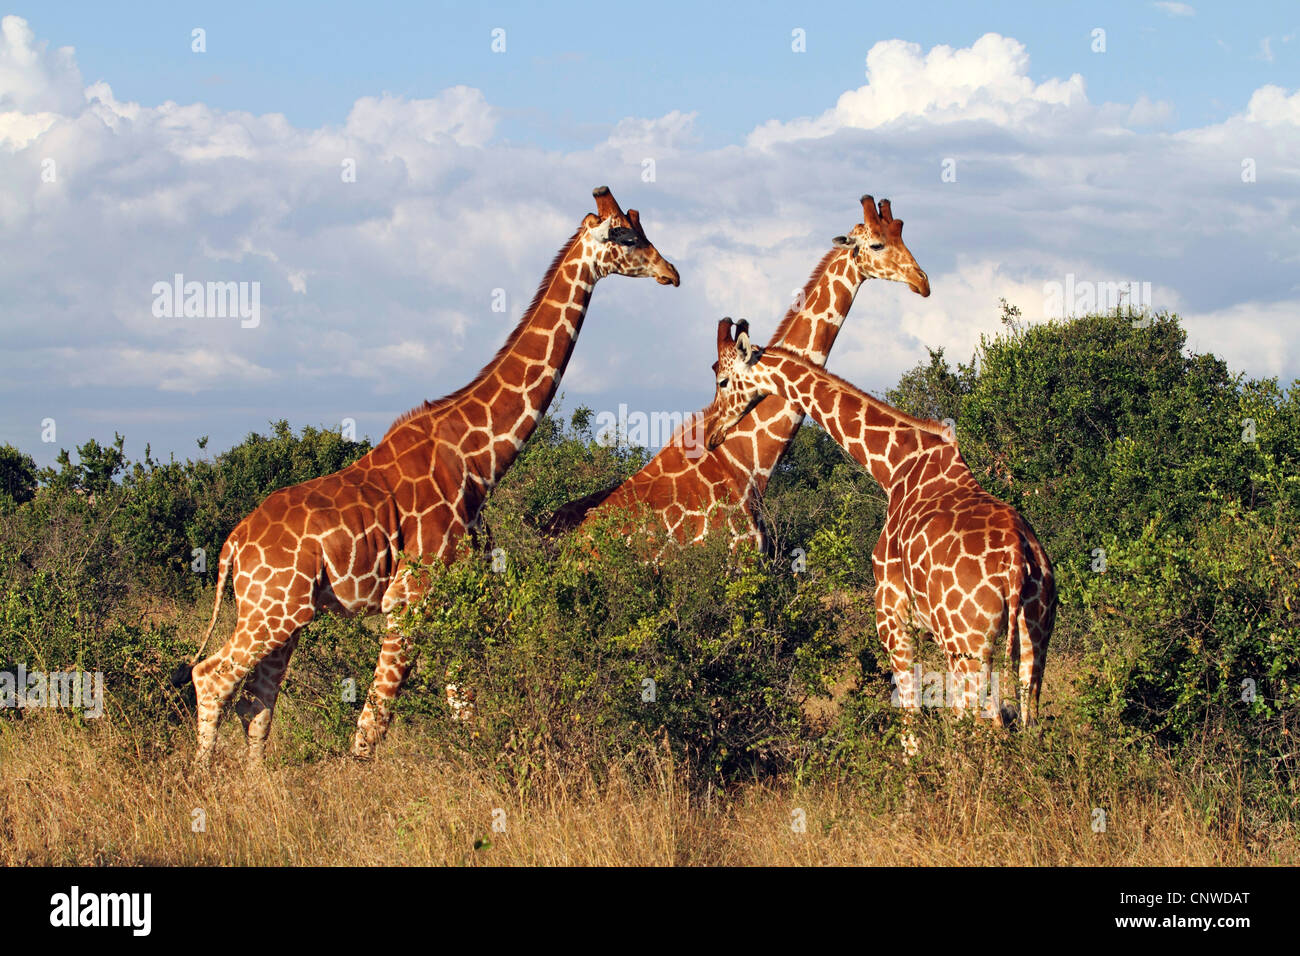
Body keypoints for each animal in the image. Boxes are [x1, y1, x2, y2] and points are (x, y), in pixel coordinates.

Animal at [176, 186, 680, 766]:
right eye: (625, 235)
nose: (670, 272)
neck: (478, 460)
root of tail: (231, 548)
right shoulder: (409, 596)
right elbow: (372, 722)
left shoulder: (450, 596)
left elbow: (466, 709)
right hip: (272, 609)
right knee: (212, 677)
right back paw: (204, 781)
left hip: (285, 613)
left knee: (256, 702)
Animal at [705, 319, 1056, 731]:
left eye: (723, 380)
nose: (711, 434)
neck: (894, 468)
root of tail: (1017, 564)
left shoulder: (891, 616)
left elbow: (909, 713)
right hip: (1035, 637)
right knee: (1027, 718)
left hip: (968, 643)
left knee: (982, 723)